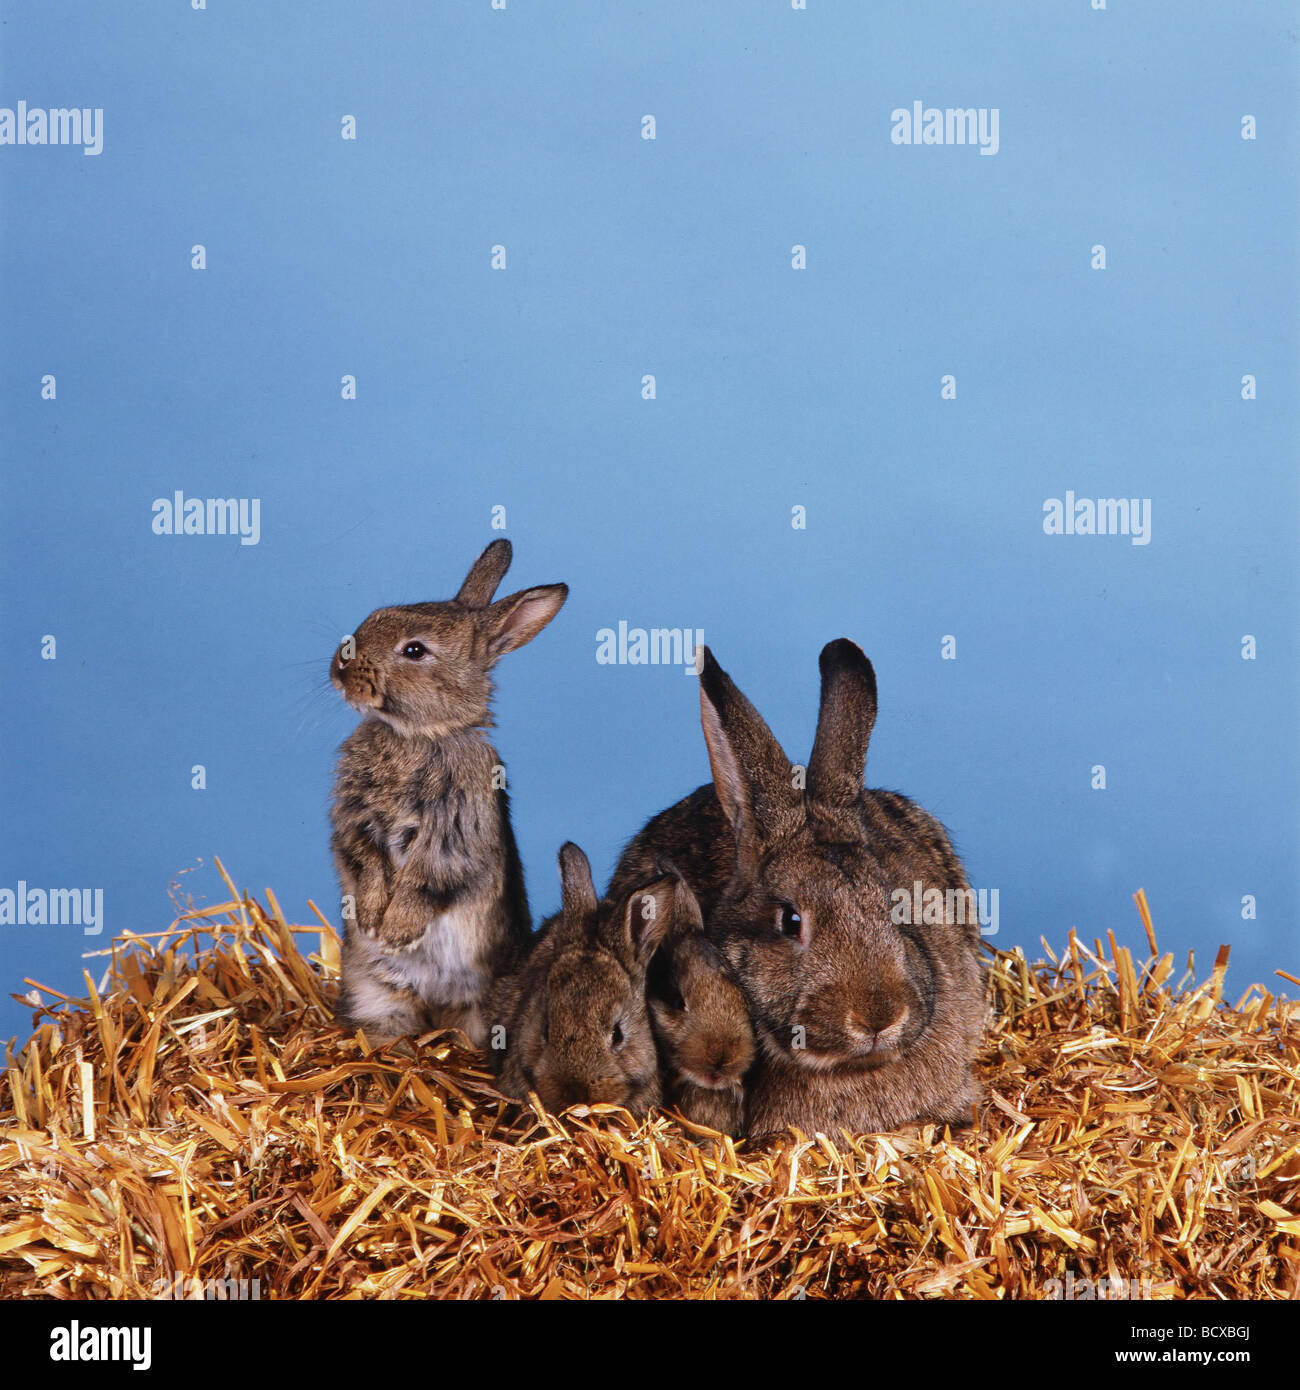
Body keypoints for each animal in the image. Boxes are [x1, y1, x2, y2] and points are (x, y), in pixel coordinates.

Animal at [329, 538, 567, 1047]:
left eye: (415, 650)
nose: (340, 665)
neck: (421, 734)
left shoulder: (455, 834)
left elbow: (428, 878)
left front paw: (396, 930)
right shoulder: (356, 824)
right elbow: (368, 862)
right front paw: (375, 920)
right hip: (373, 989)